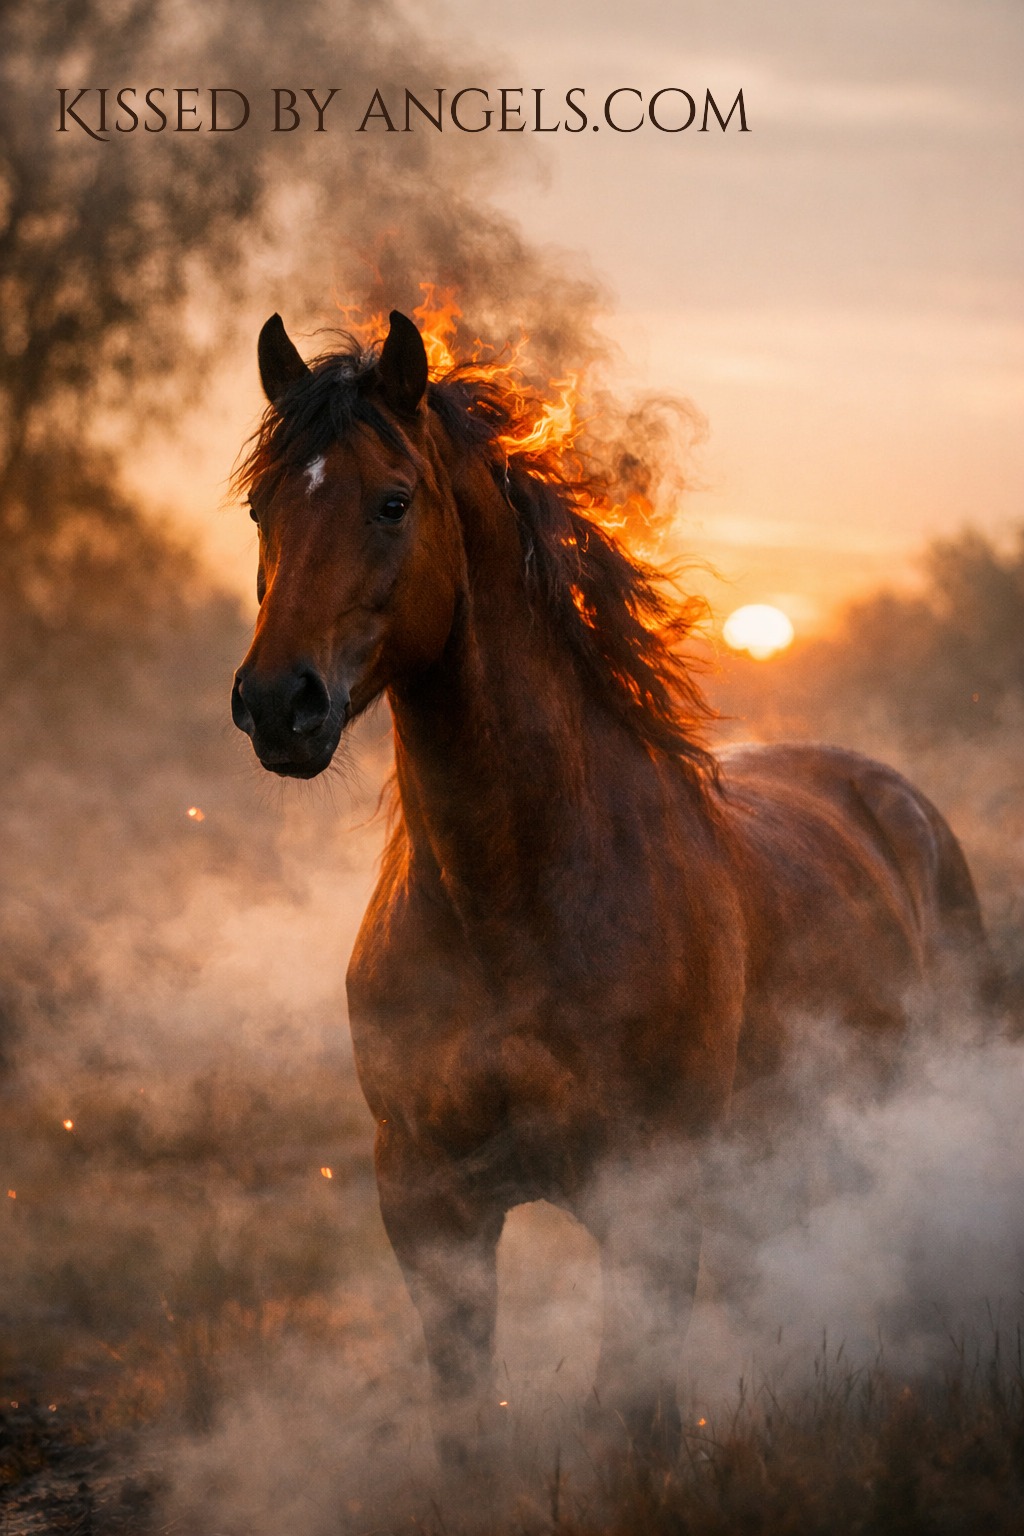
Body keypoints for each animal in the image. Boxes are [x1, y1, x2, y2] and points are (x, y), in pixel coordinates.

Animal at [230, 309, 992, 1462]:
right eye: (260, 507)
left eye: (392, 501)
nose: (279, 704)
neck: (511, 899)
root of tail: (900, 802)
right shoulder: (427, 1202)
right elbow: (464, 1422)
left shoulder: (649, 1196)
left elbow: (639, 1421)